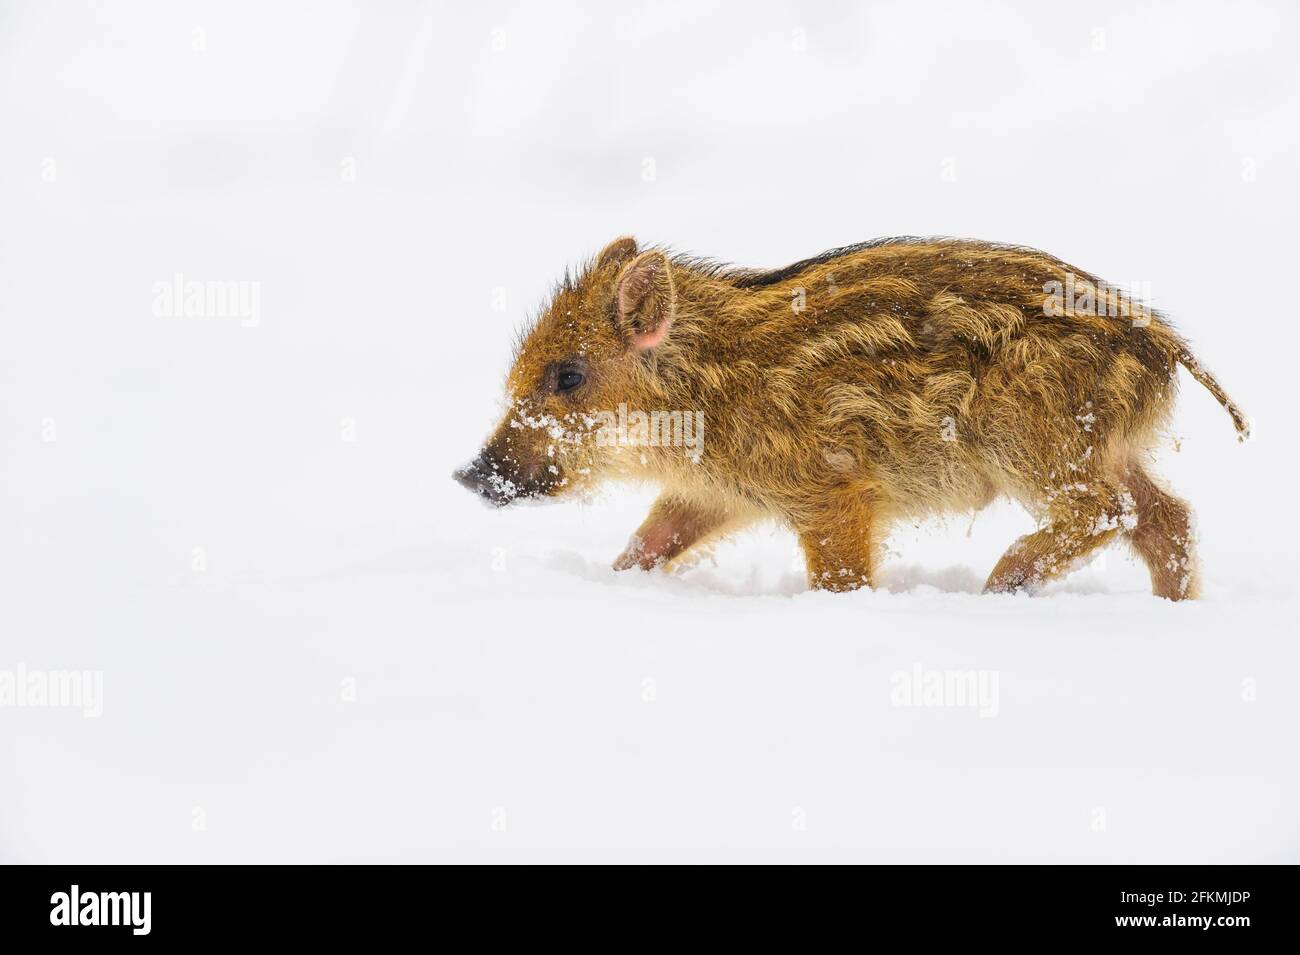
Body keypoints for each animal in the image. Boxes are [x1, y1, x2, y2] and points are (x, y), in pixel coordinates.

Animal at [454, 236, 1249, 599]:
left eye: (568, 375)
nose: (469, 475)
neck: (710, 387)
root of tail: (1163, 344)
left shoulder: (831, 494)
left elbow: (842, 576)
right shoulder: (712, 494)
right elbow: (647, 543)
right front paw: (617, 581)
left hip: (1033, 441)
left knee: (1110, 510)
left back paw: (999, 584)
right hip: (1108, 447)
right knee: (1167, 516)